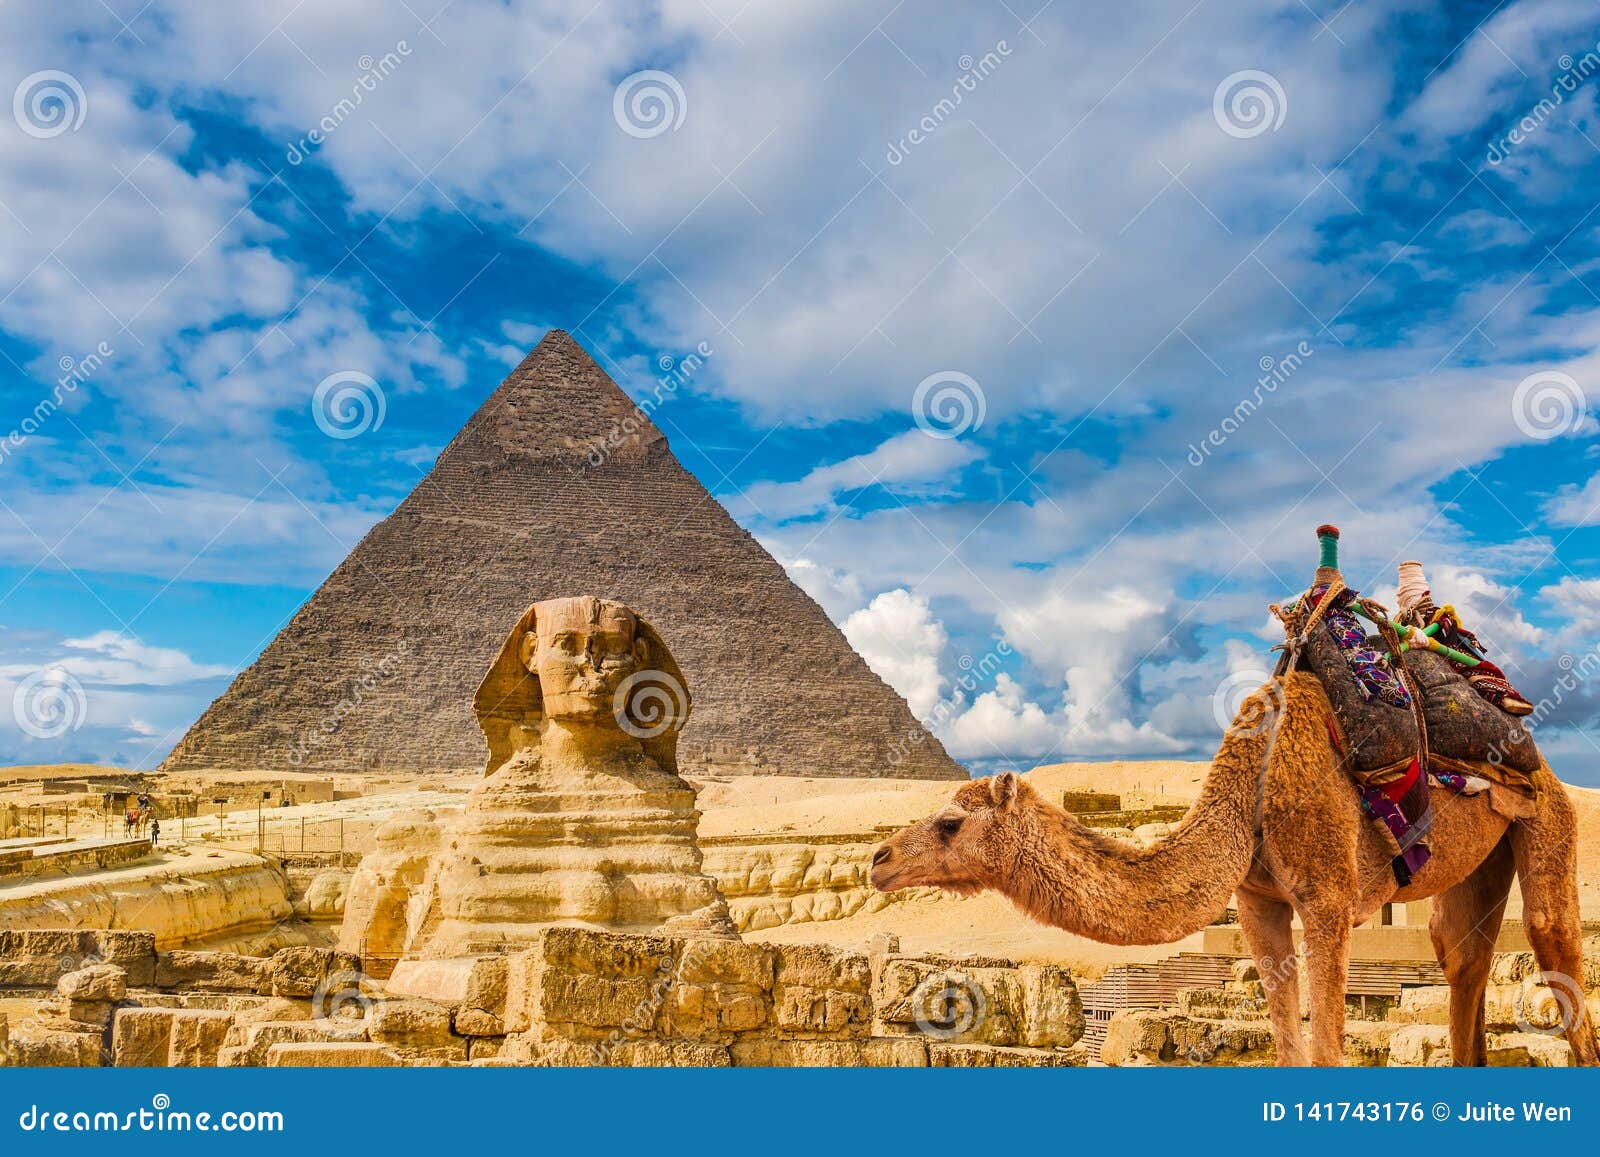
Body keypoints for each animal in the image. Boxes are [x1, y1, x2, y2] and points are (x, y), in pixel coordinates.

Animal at [870, 670, 1598, 1067]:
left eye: (950, 822)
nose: (879, 860)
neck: (1246, 793)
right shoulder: (1256, 900)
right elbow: (1288, 1044)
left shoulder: (1327, 898)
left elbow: (1328, 1047)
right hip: (1476, 864)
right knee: (1462, 956)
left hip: (1546, 815)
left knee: (1554, 947)